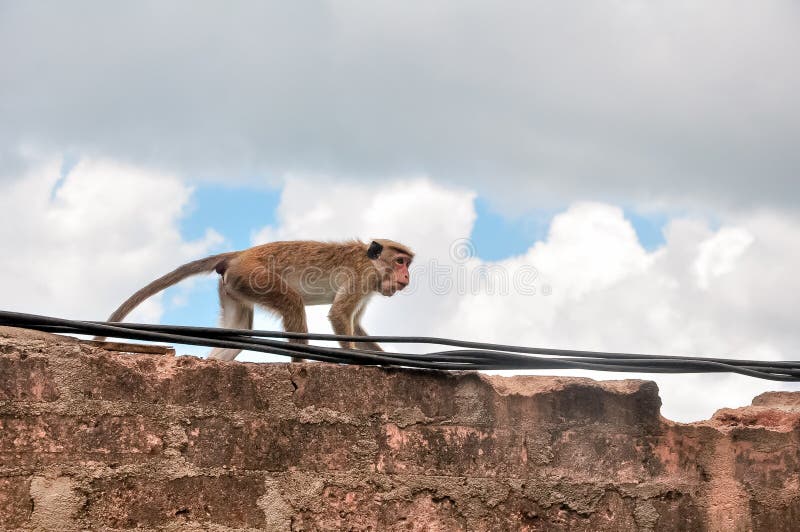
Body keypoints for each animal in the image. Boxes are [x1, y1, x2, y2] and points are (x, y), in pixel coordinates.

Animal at [96, 239, 414, 362]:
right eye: (400, 261)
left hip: (234, 286)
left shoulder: (370, 287)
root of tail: (239, 255)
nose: (407, 276)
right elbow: (339, 315)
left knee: (239, 326)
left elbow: (355, 325)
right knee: (292, 302)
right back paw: (301, 363)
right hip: (254, 276)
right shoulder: (362, 277)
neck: (370, 261)